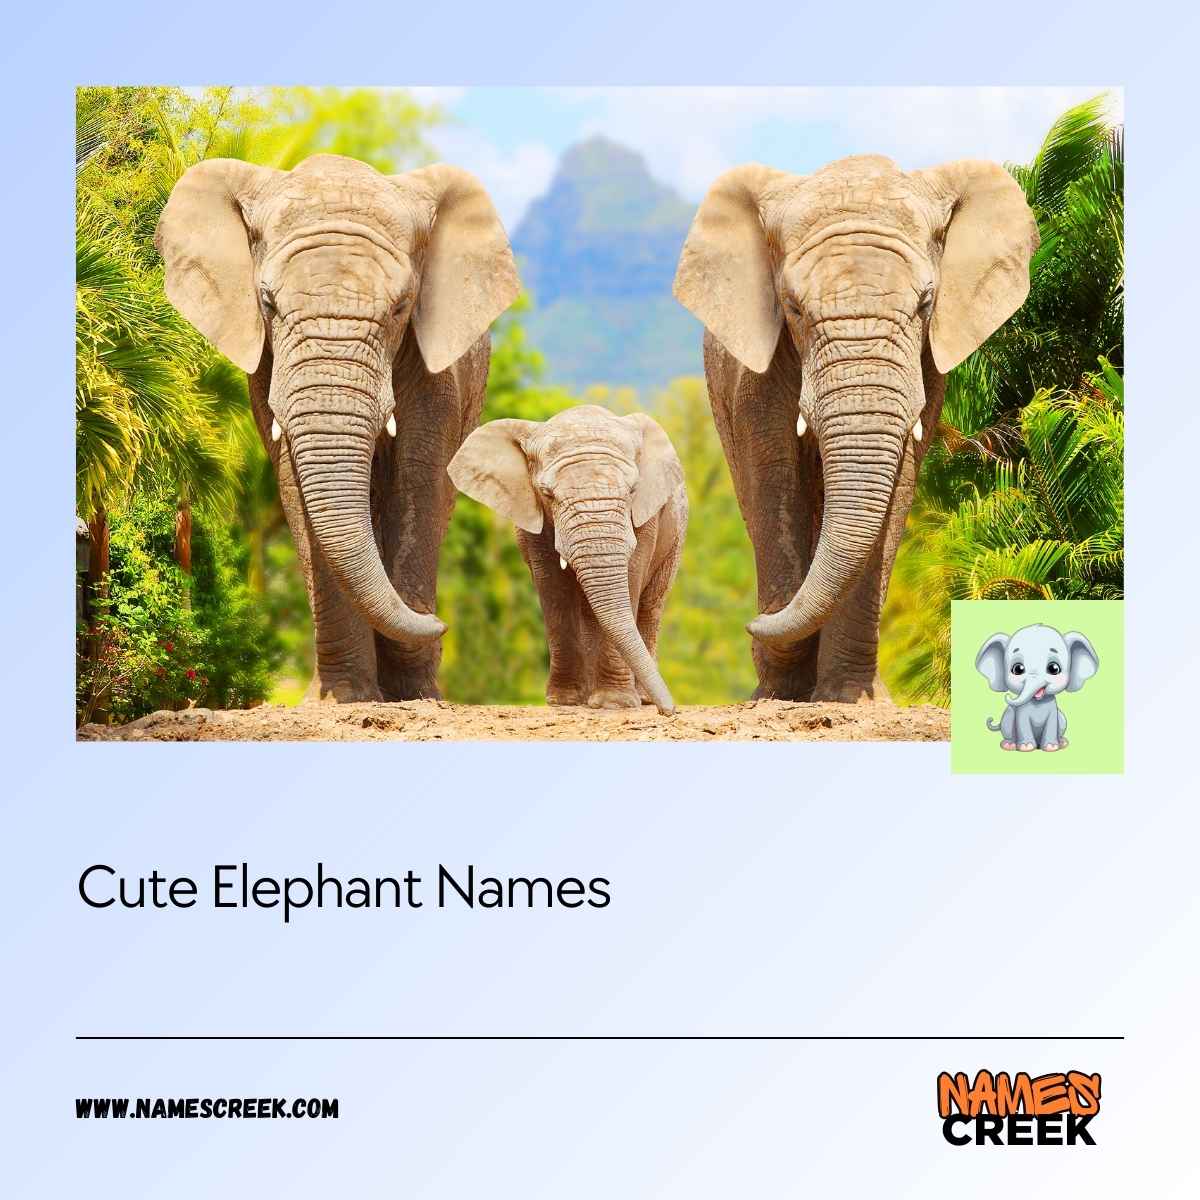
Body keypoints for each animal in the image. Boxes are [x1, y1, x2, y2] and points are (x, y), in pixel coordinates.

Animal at [155, 153, 520, 702]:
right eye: (267, 303)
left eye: (402, 306)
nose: (441, 625)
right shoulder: (266, 370)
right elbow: (295, 488)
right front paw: (345, 698)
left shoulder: (437, 374)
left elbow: (419, 482)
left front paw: (415, 696)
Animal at [447, 405, 687, 714]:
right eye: (547, 494)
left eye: (633, 490)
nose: (669, 710)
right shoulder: (533, 520)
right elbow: (554, 589)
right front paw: (564, 701)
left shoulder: (646, 518)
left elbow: (632, 579)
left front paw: (614, 704)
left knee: (650, 604)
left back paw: (638, 697)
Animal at [673, 154, 1039, 703]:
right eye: (792, 307)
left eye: (926, 303)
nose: (751, 624)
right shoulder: (755, 377)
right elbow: (775, 479)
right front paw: (780, 693)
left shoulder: (927, 369)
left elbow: (897, 486)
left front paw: (849, 697)